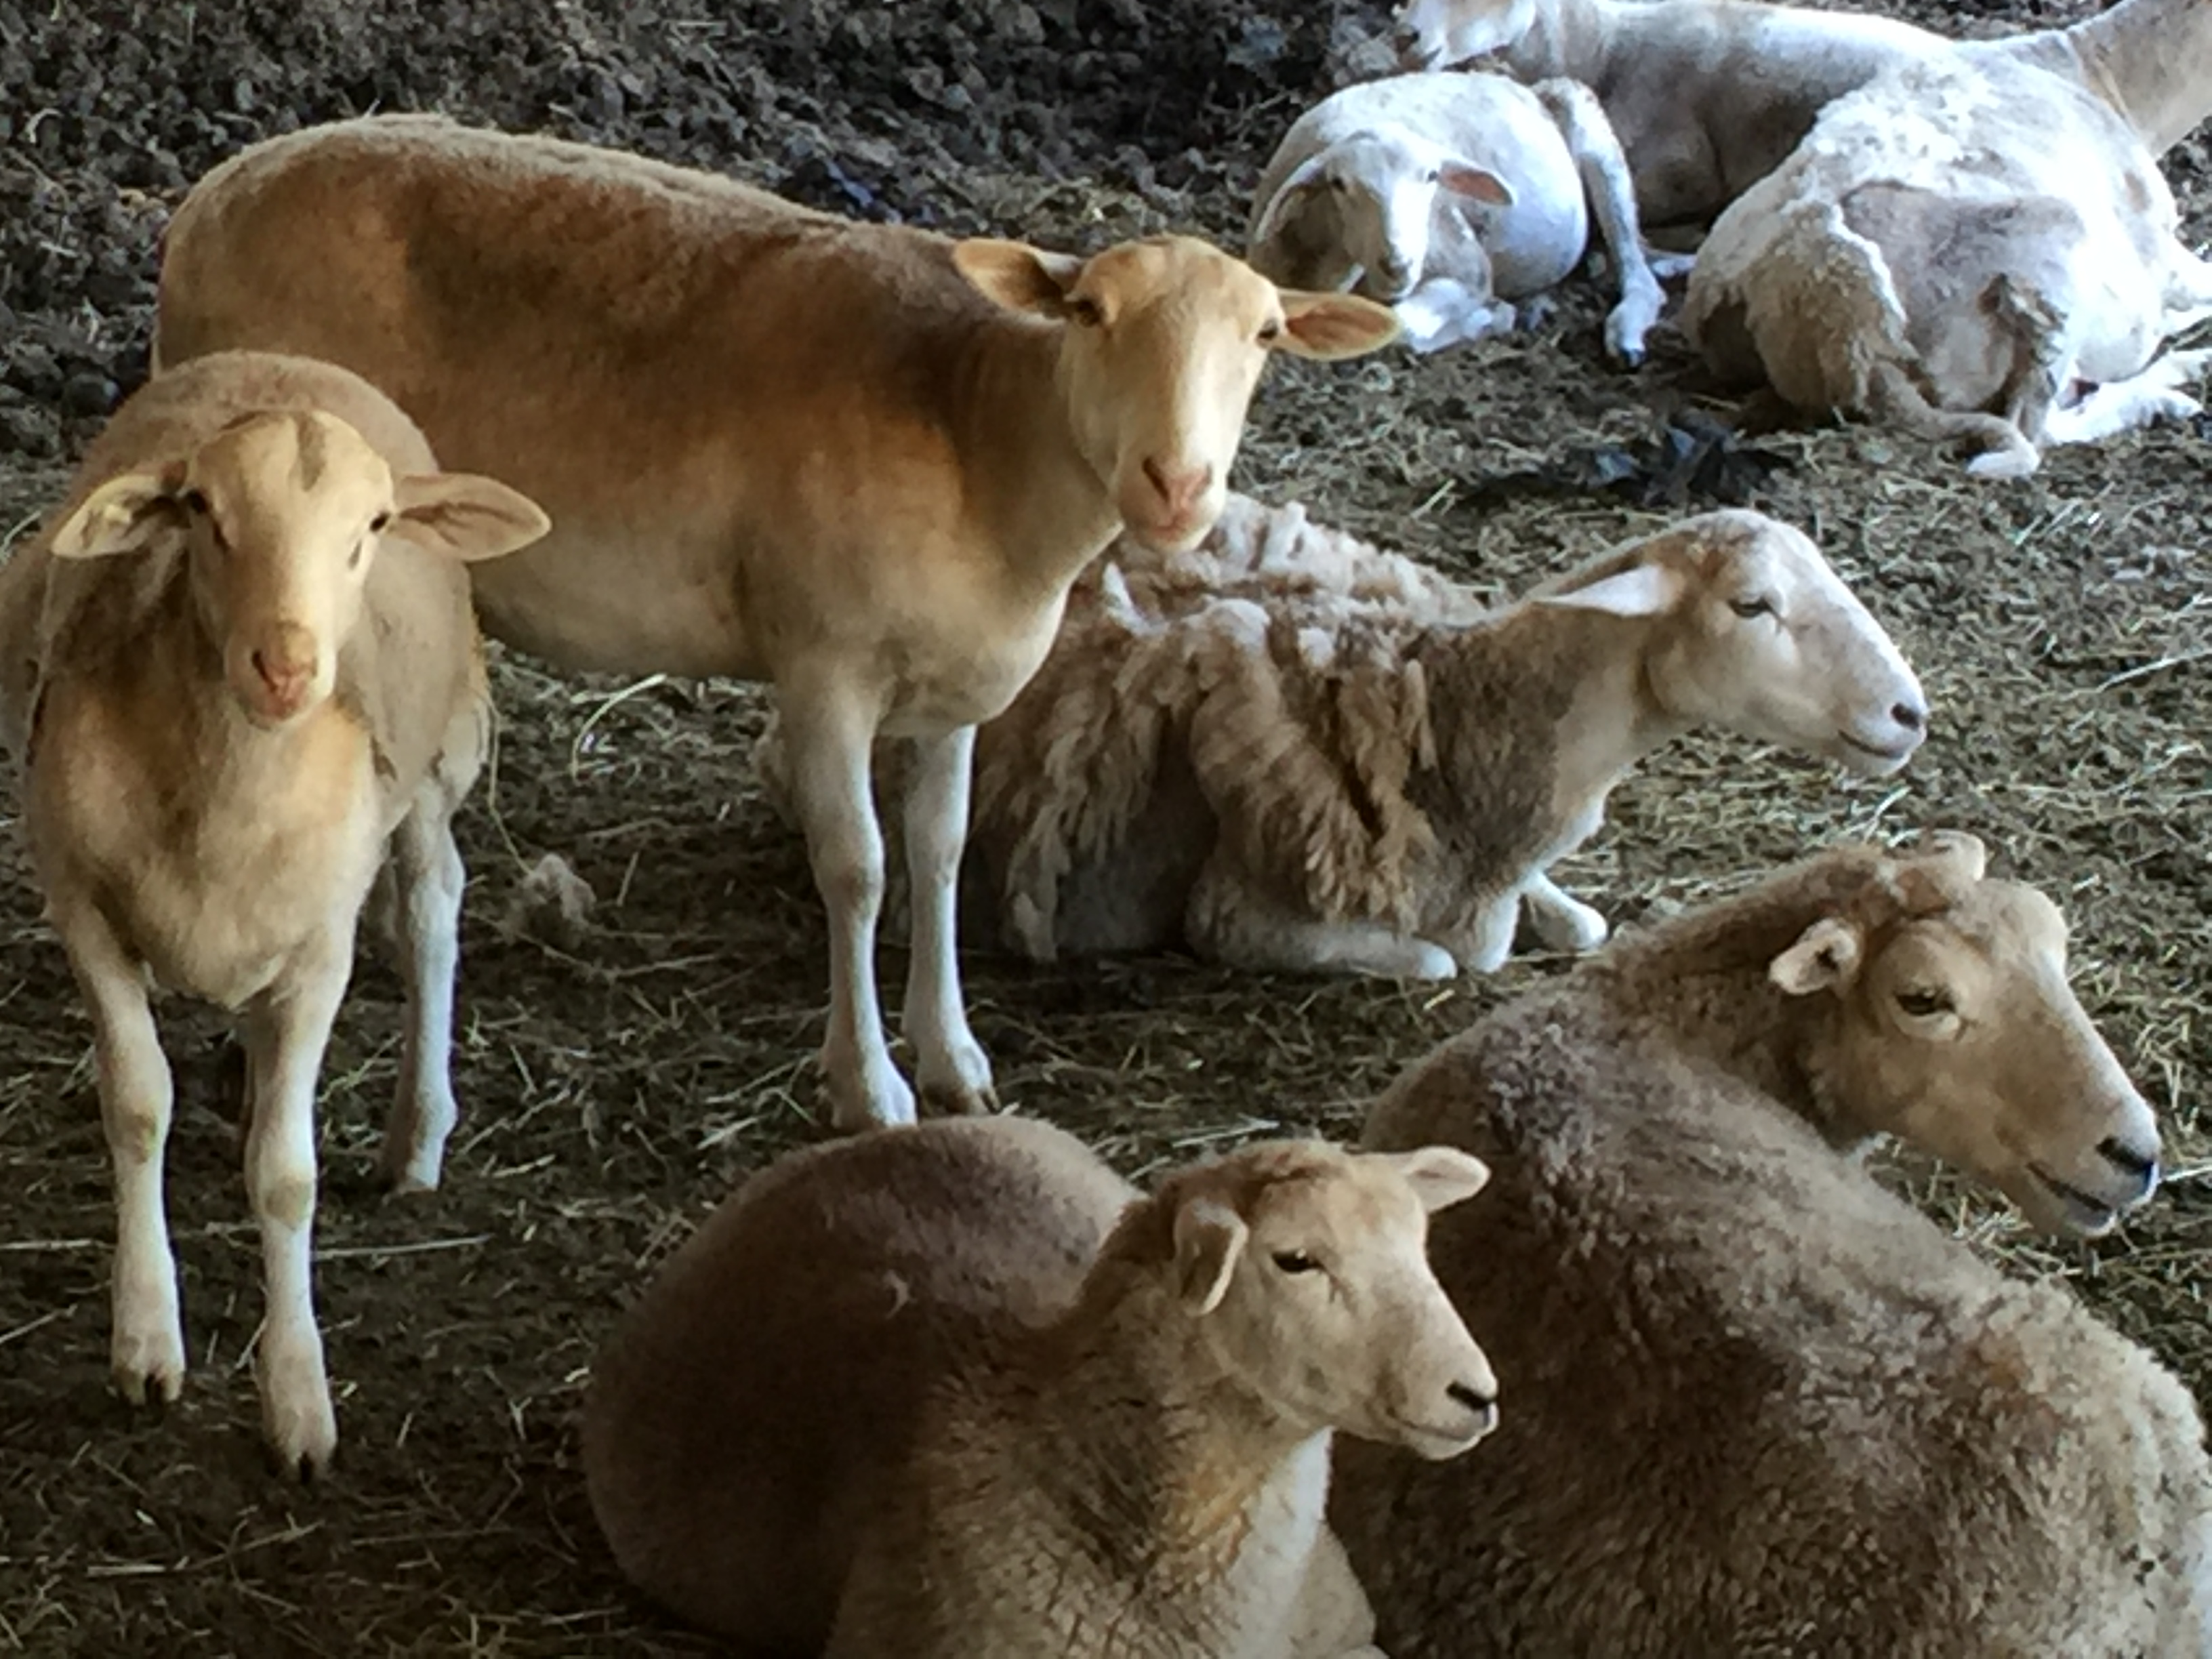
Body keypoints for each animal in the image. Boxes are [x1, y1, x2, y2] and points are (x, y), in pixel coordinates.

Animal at [0, 349, 549, 1476]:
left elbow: (289, 1178)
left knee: (432, 911)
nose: (286, 666)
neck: (226, 790)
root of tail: (285, 360)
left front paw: (297, 1401)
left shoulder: (320, 955)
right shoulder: (80, 905)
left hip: (434, 774)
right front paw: (146, 1343)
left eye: (374, 525)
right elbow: (139, 1106)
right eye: (201, 510)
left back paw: (416, 1136)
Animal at [151, 114, 1402, 1133]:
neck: (980, 426)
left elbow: (940, 851)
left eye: (1264, 339)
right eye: (1091, 311)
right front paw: (870, 1086)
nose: (1176, 484)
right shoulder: (823, 664)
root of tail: (211, 198)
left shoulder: (956, 682)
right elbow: (857, 867)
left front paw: (952, 1054)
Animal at [848, 496, 1925, 979]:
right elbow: (1452, 963)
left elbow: (1576, 925)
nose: (1911, 712)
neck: (1448, 713)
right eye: (1751, 604)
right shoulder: (1237, 915)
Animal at [1246, 71, 1671, 362]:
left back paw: (1627, 331)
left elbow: (1405, 327)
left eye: (1433, 176)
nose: (1399, 264)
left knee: (1636, 263)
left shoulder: (1469, 270)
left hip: (1592, 131)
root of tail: (1523, 86)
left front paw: (1492, 317)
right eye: (1338, 183)